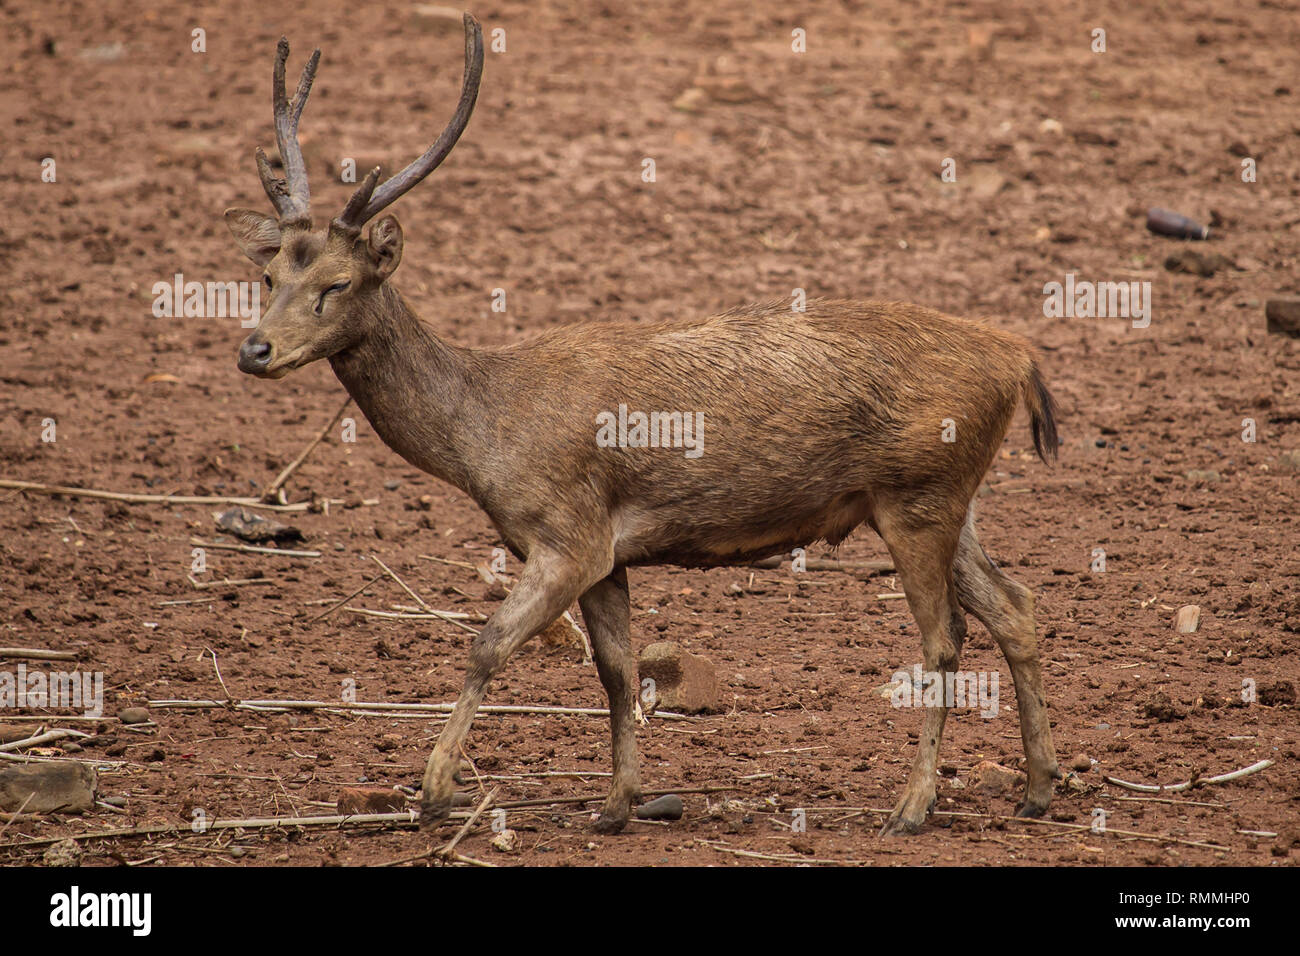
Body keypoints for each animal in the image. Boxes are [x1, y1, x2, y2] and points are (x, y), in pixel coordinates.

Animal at [225, 13, 1062, 837]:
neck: (479, 432)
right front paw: (618, 803)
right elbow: (617, 669)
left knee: (944, 638)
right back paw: (1038, 788)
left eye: (336, 283)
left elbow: (487, 646)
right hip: (948, 497)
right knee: (1015, 606)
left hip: (918, 495)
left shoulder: (566, 534)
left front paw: (433, 791)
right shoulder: (607, 554)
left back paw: (913, 807)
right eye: (267, 275)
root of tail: (1020, 358)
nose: (254, 349)